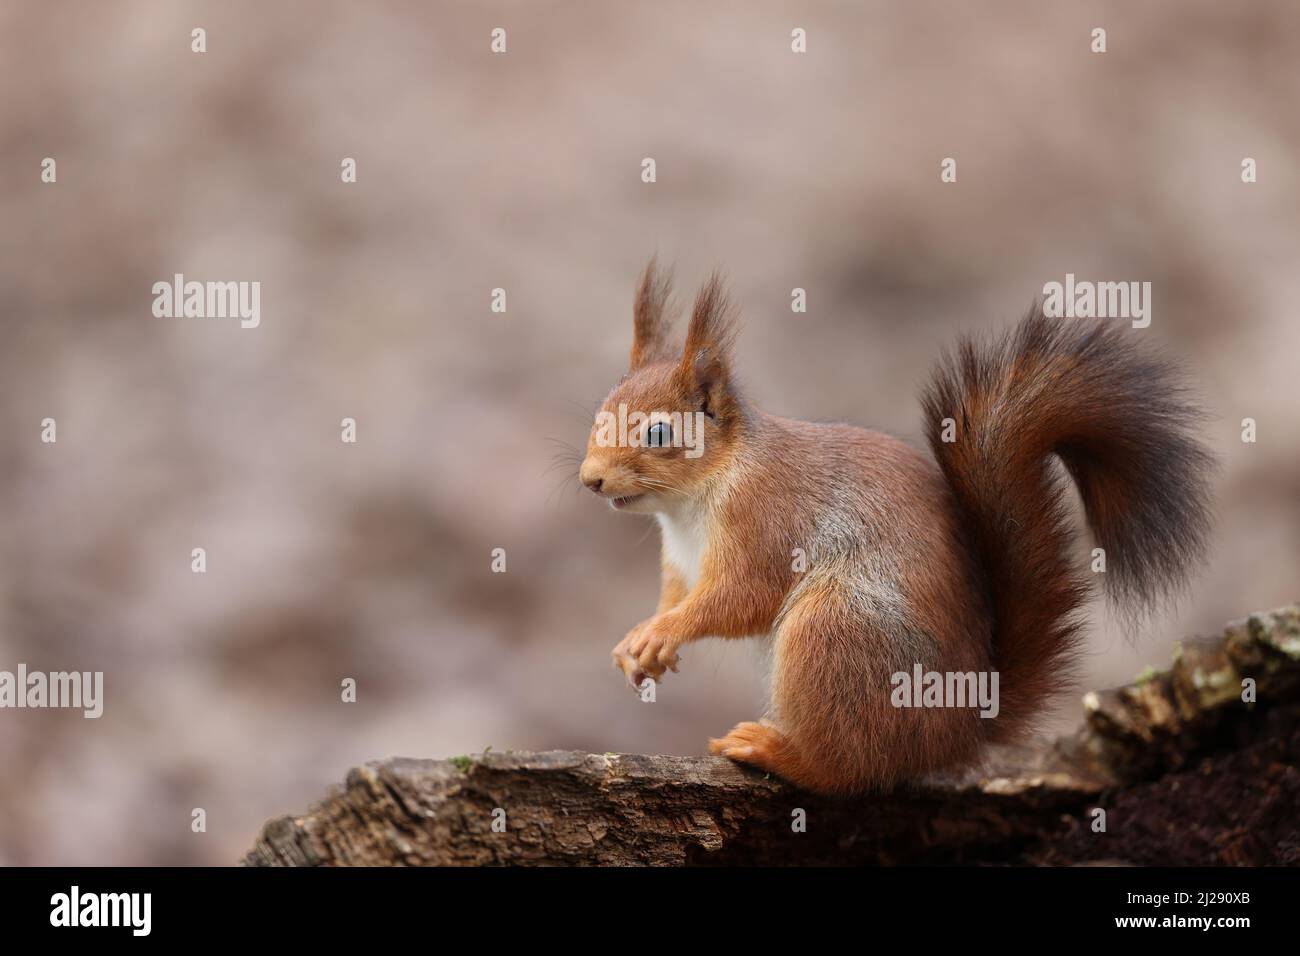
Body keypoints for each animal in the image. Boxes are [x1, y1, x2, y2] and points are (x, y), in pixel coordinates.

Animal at [578, 258, 1215, 793]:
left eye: (659, 433)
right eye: (599, 412)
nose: (590, 479)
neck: (692, 502)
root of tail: (960, 732)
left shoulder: (766, 520)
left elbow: (742, 596)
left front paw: (663, 632)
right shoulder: (680, 560)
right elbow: (678, 594)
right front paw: (642, 642)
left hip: (836, 630)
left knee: (848, 770)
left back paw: (775, 751)